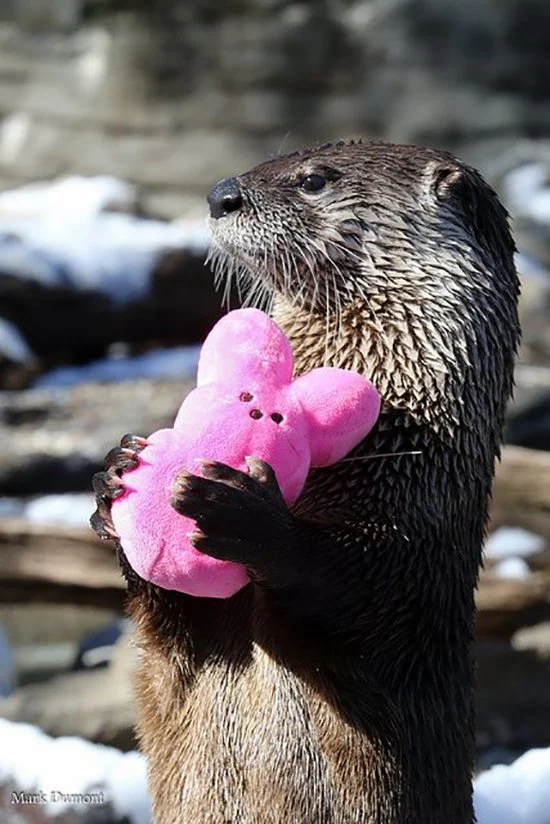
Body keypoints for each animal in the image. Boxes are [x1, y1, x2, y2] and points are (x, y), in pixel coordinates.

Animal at [92, 141, 519, 824]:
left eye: (313, 179)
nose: (220, 194)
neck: (400, 439)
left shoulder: (418, 539)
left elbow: (361, 587)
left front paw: (241, 513)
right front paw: (114, 477)